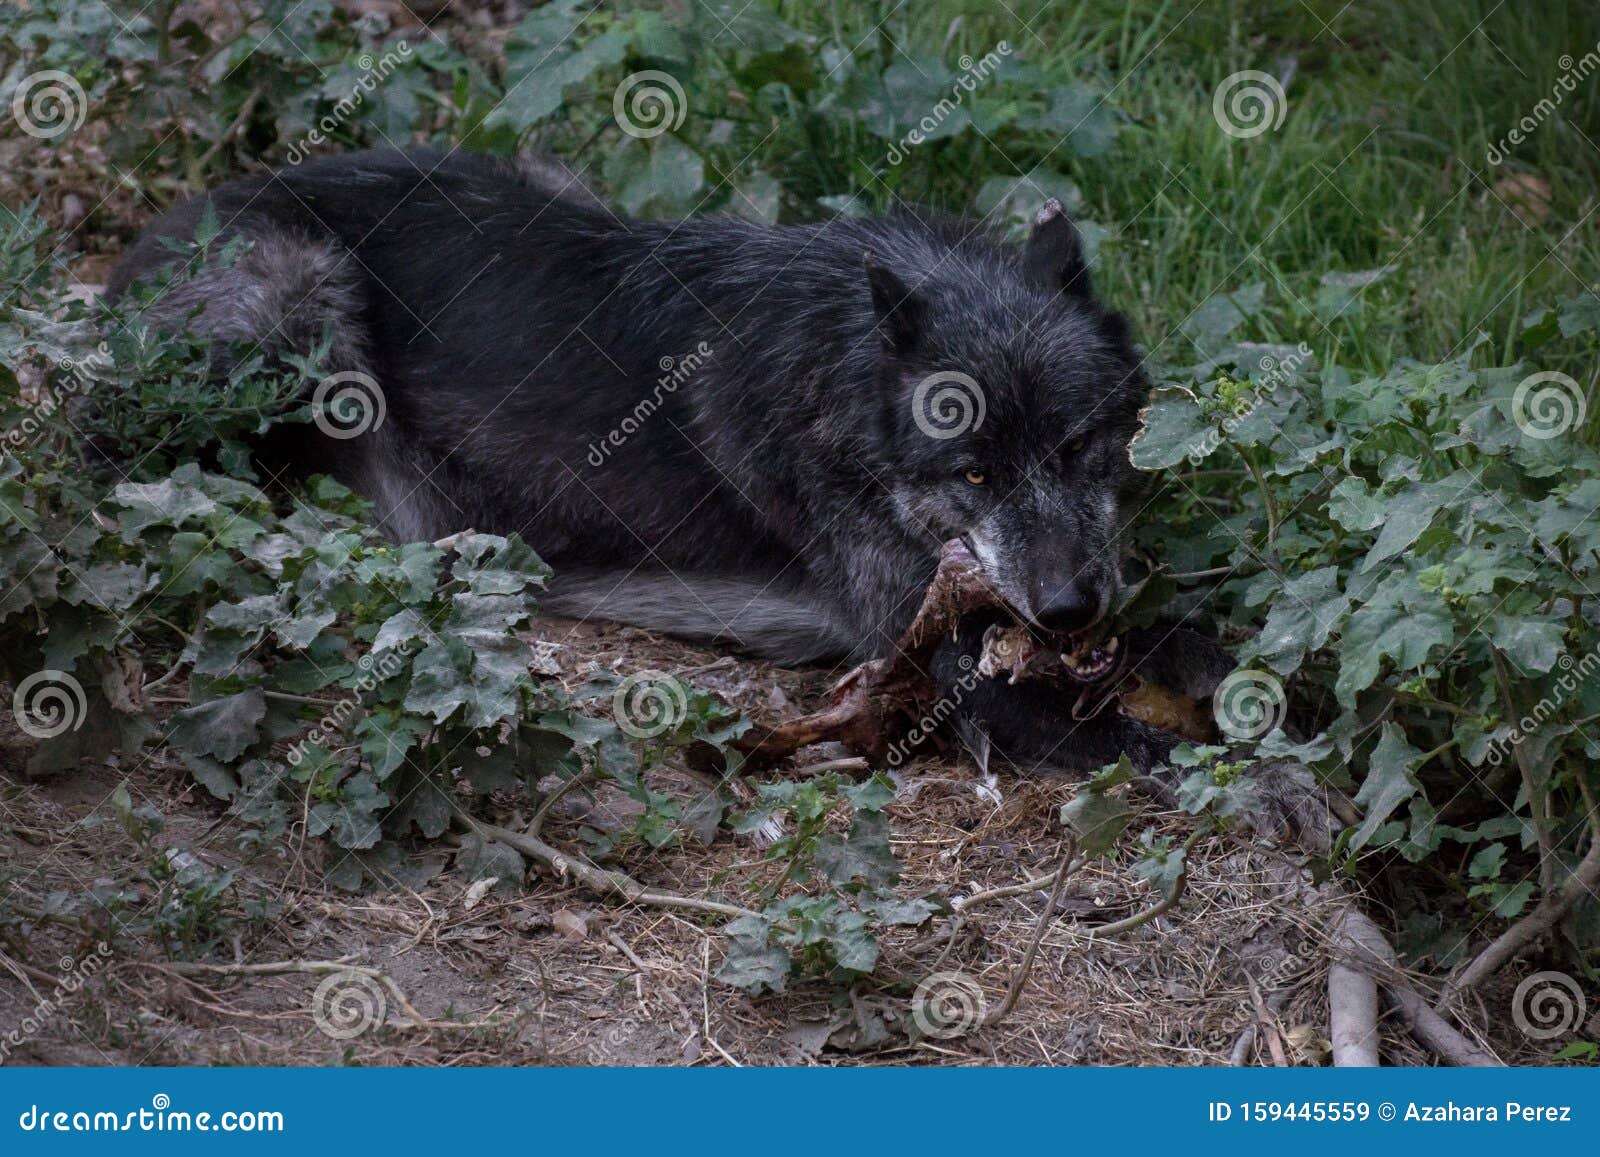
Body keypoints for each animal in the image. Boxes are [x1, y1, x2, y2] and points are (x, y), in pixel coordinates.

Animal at [109, 147, 1266, 795]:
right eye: (975, 476)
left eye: (1076, 448)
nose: (1067, 610)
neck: (843, 377)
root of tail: (145, 240)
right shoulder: (950, 679)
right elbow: (1142, 745)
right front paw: (1267, 788)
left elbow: (1191, 639)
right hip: (302, 299)